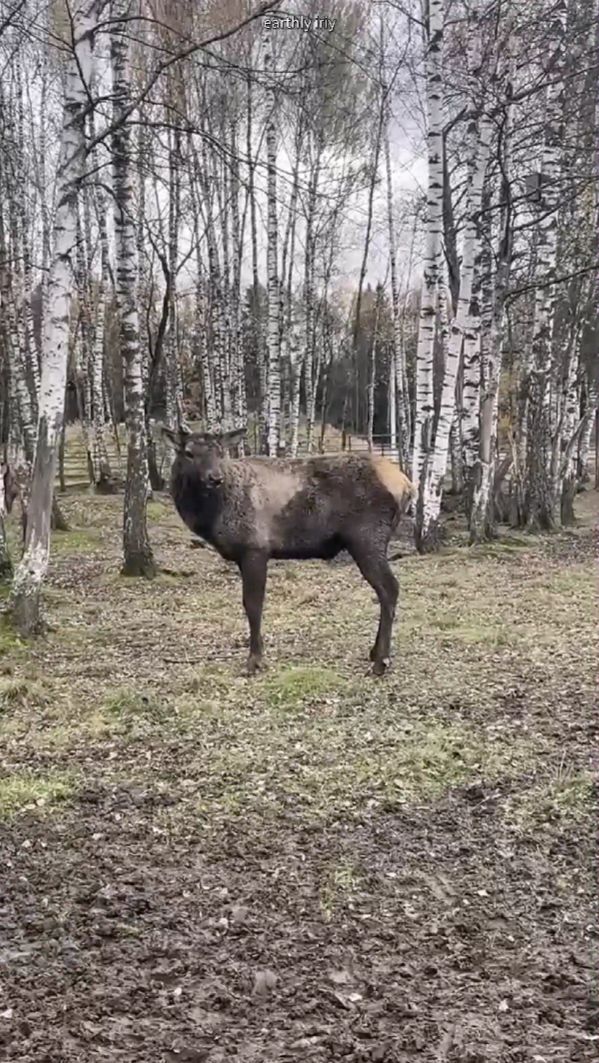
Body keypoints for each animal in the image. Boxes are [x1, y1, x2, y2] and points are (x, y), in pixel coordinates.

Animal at [160, 425, 414, 676]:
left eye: (220, 452)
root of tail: (407, 485)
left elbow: (253, 604)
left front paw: (254, 661)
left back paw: (381, 661)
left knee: (389, 588)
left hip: (367, 537)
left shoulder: (255, 548)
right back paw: (374, 652)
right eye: (189, 453)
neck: (213, 517)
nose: (215, 478)